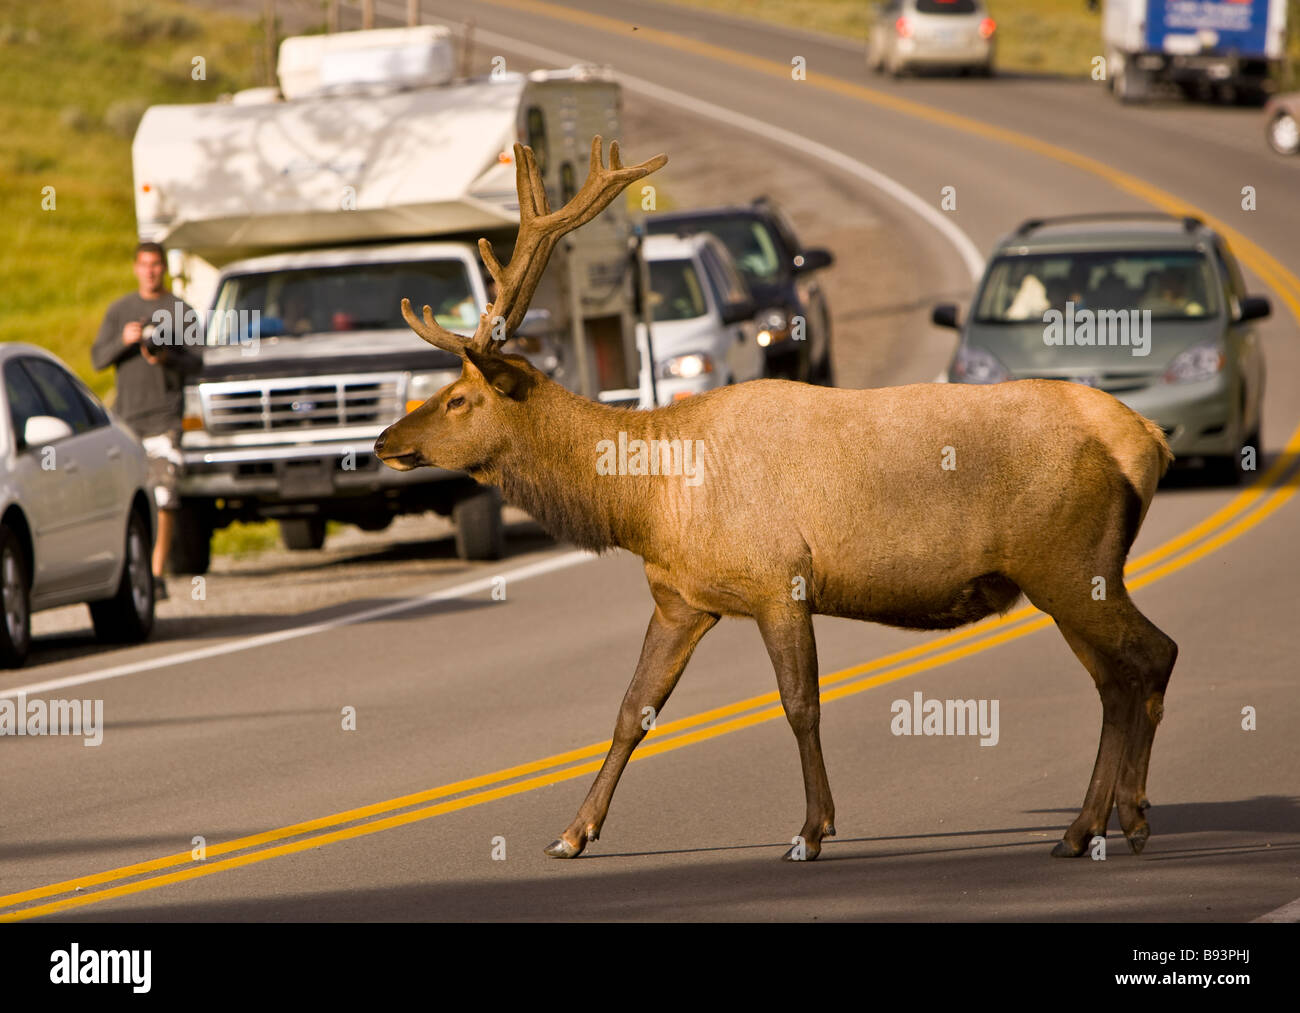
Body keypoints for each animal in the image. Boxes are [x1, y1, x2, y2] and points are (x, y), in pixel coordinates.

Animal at [375, 136, 1178, 863]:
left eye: (458, 398)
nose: (384, 439)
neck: (647, 501)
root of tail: (1147, 440)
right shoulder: (681, 598)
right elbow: (632, 709)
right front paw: (572, 833)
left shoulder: (778, 580)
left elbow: (799, 705)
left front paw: (813, 830)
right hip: (1068, 574)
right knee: (1114, 681)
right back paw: (1084, 828)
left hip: (1069, 562)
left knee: (1153, 655)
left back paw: (1132, 818)